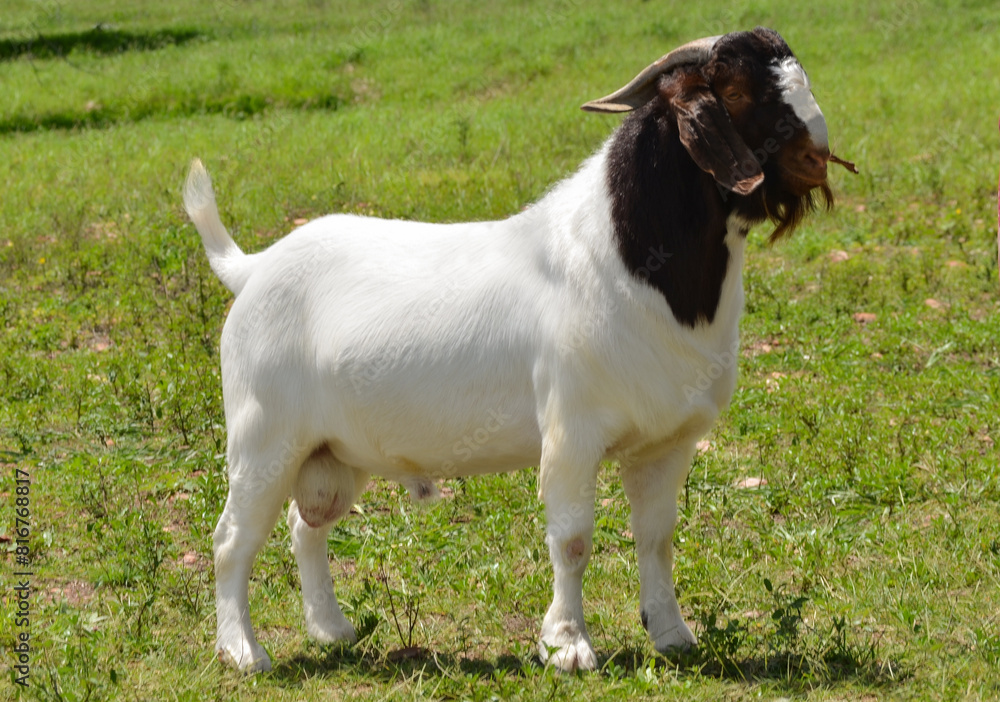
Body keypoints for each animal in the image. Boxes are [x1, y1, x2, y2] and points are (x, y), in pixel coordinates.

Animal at [184, 27, 853, 673]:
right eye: (735, 91)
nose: (815, 159)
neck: (623, 259)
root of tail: (253, 268)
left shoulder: (667, 443)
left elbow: (657, 537)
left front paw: (672, 635)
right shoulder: (571, 433)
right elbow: (573, 539)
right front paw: (567, 646)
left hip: (334, 454)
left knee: (306, 525)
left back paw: (332, 629)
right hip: (263, 439)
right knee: (232, 539)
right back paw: (243, 652)